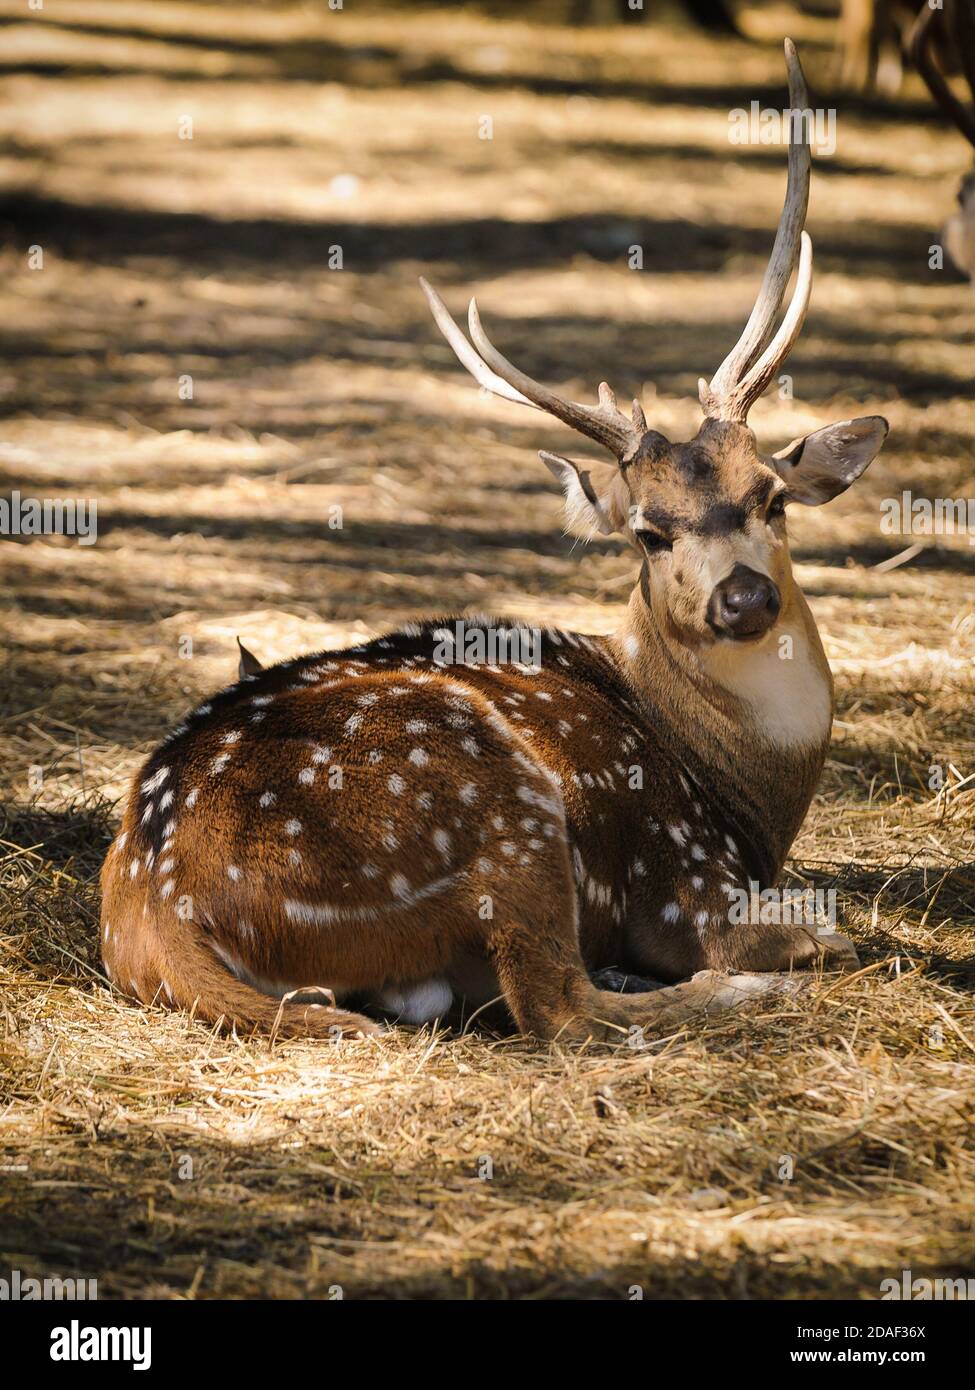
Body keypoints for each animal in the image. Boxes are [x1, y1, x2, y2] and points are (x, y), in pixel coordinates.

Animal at [100, 41, 888, 1045]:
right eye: (647, 531)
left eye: (773, 497)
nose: (744, 597)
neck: (745, 795)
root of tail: (153, 906)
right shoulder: (682, 878)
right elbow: (818, 931)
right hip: (496, 809)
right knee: (557, 1004)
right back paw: (733, 993)